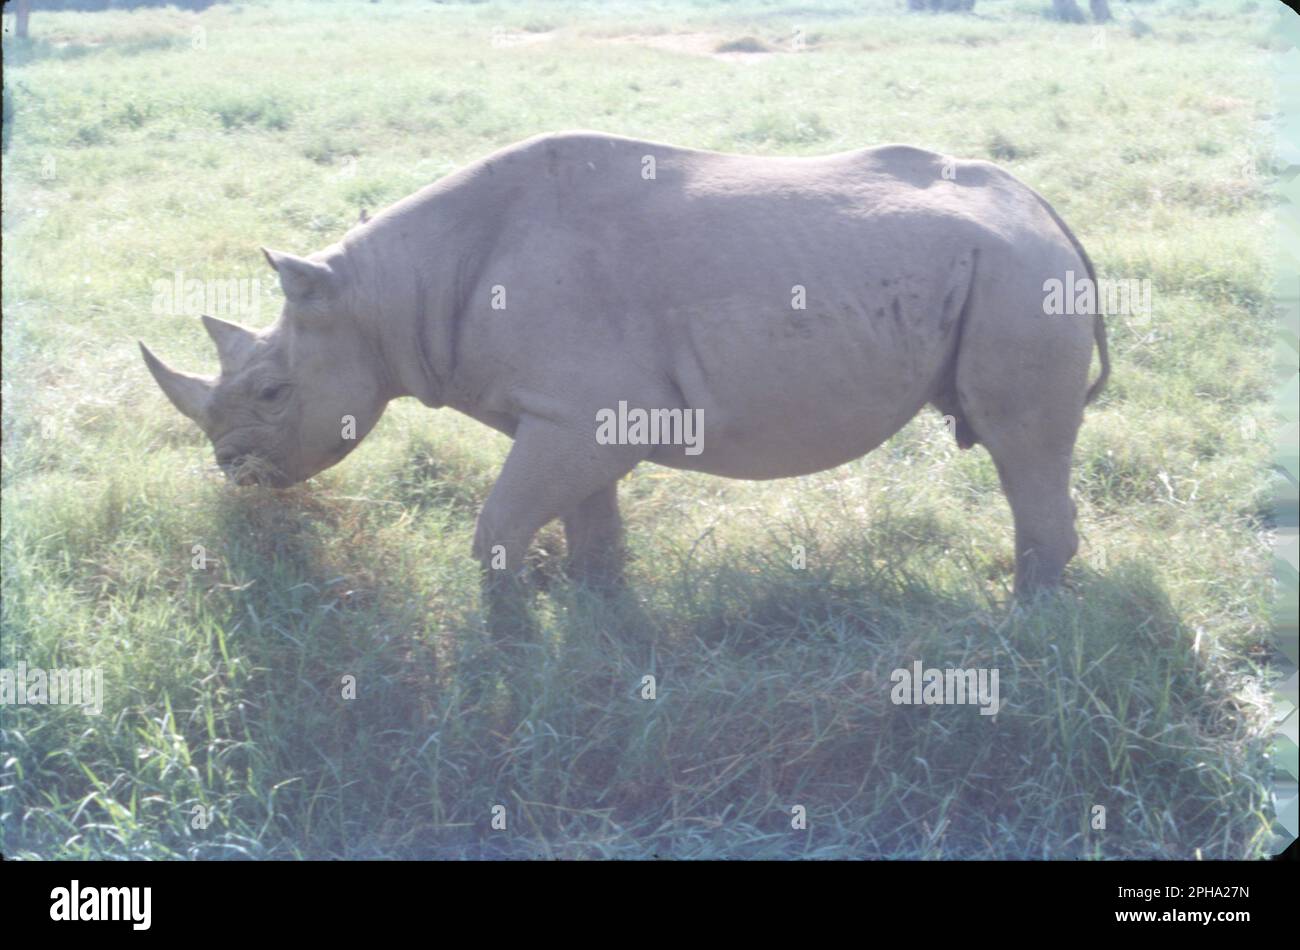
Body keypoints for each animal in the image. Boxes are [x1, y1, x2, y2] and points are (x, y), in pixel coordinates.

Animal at [141, 130, 1108, 611]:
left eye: (273, 394)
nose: (232, 472)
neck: (384, 295)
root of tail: (1050, 216)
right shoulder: (572, 414)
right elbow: (588, 524)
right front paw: (600, 626)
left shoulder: (581, 413)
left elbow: (497, 529)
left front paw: (509, 647)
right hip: (1011, 267)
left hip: (1020, 276)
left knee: (1021, 443)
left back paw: (1024, 631)